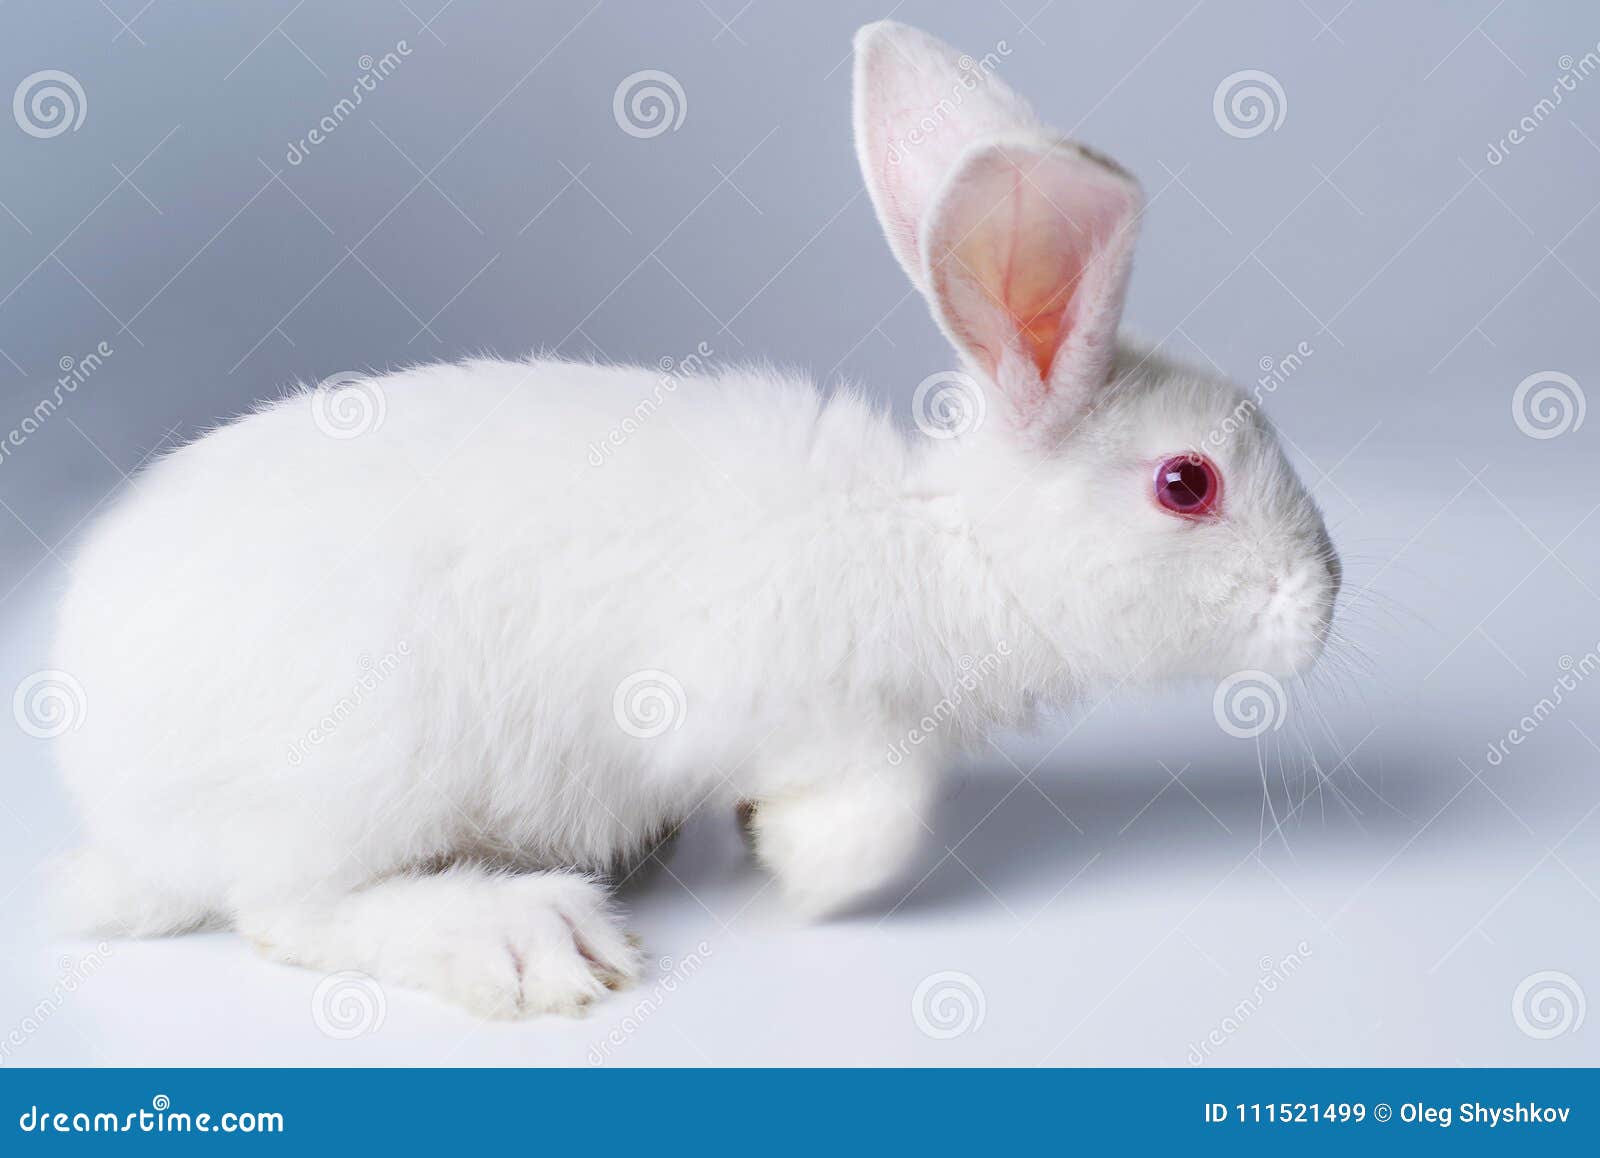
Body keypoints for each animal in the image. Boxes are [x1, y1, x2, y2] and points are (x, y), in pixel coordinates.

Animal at [50, 21, 1339, 1019]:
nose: (1324, 605)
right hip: (361, 768)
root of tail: (110, 807)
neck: (948, 547)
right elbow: (875, 818)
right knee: (288, 911)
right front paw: (805, 870)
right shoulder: (787, 709)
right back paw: (529, 941)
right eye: (1187, 484)